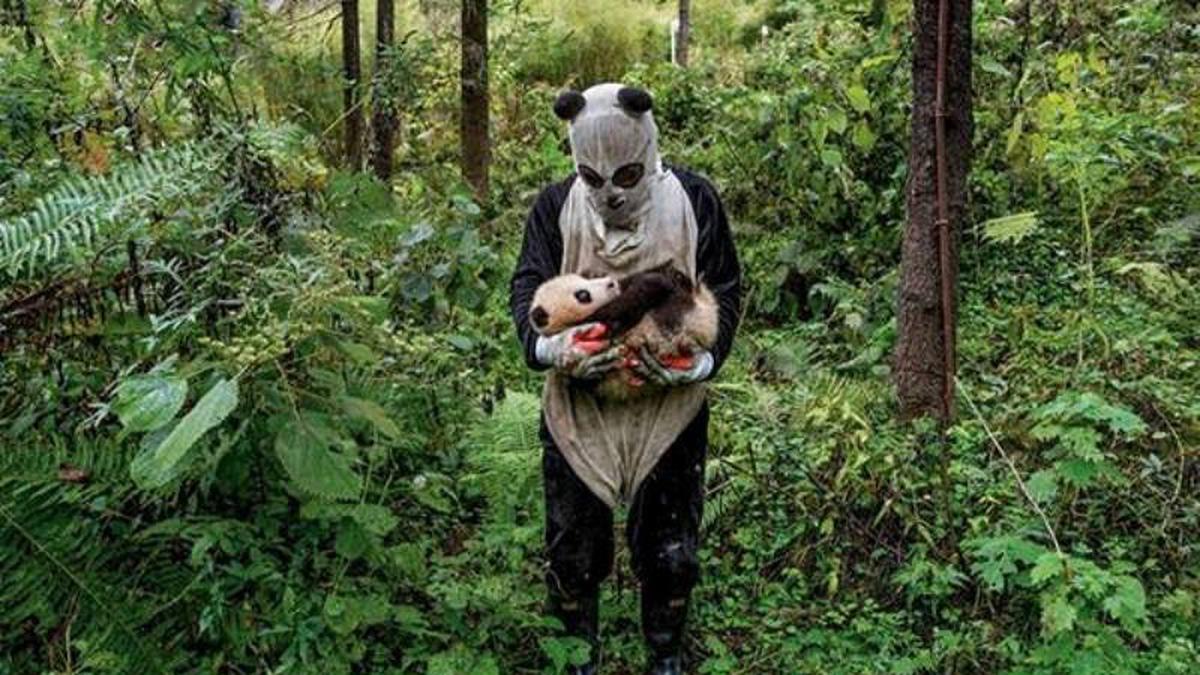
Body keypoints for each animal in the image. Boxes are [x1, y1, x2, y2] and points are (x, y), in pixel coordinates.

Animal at [529, 263, 719, 399]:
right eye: (583, 295)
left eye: (583, 279)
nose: (610, 282)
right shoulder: (598, 326)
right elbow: (633, 299)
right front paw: (657, 279)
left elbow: (631, 282)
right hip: (674, 319)